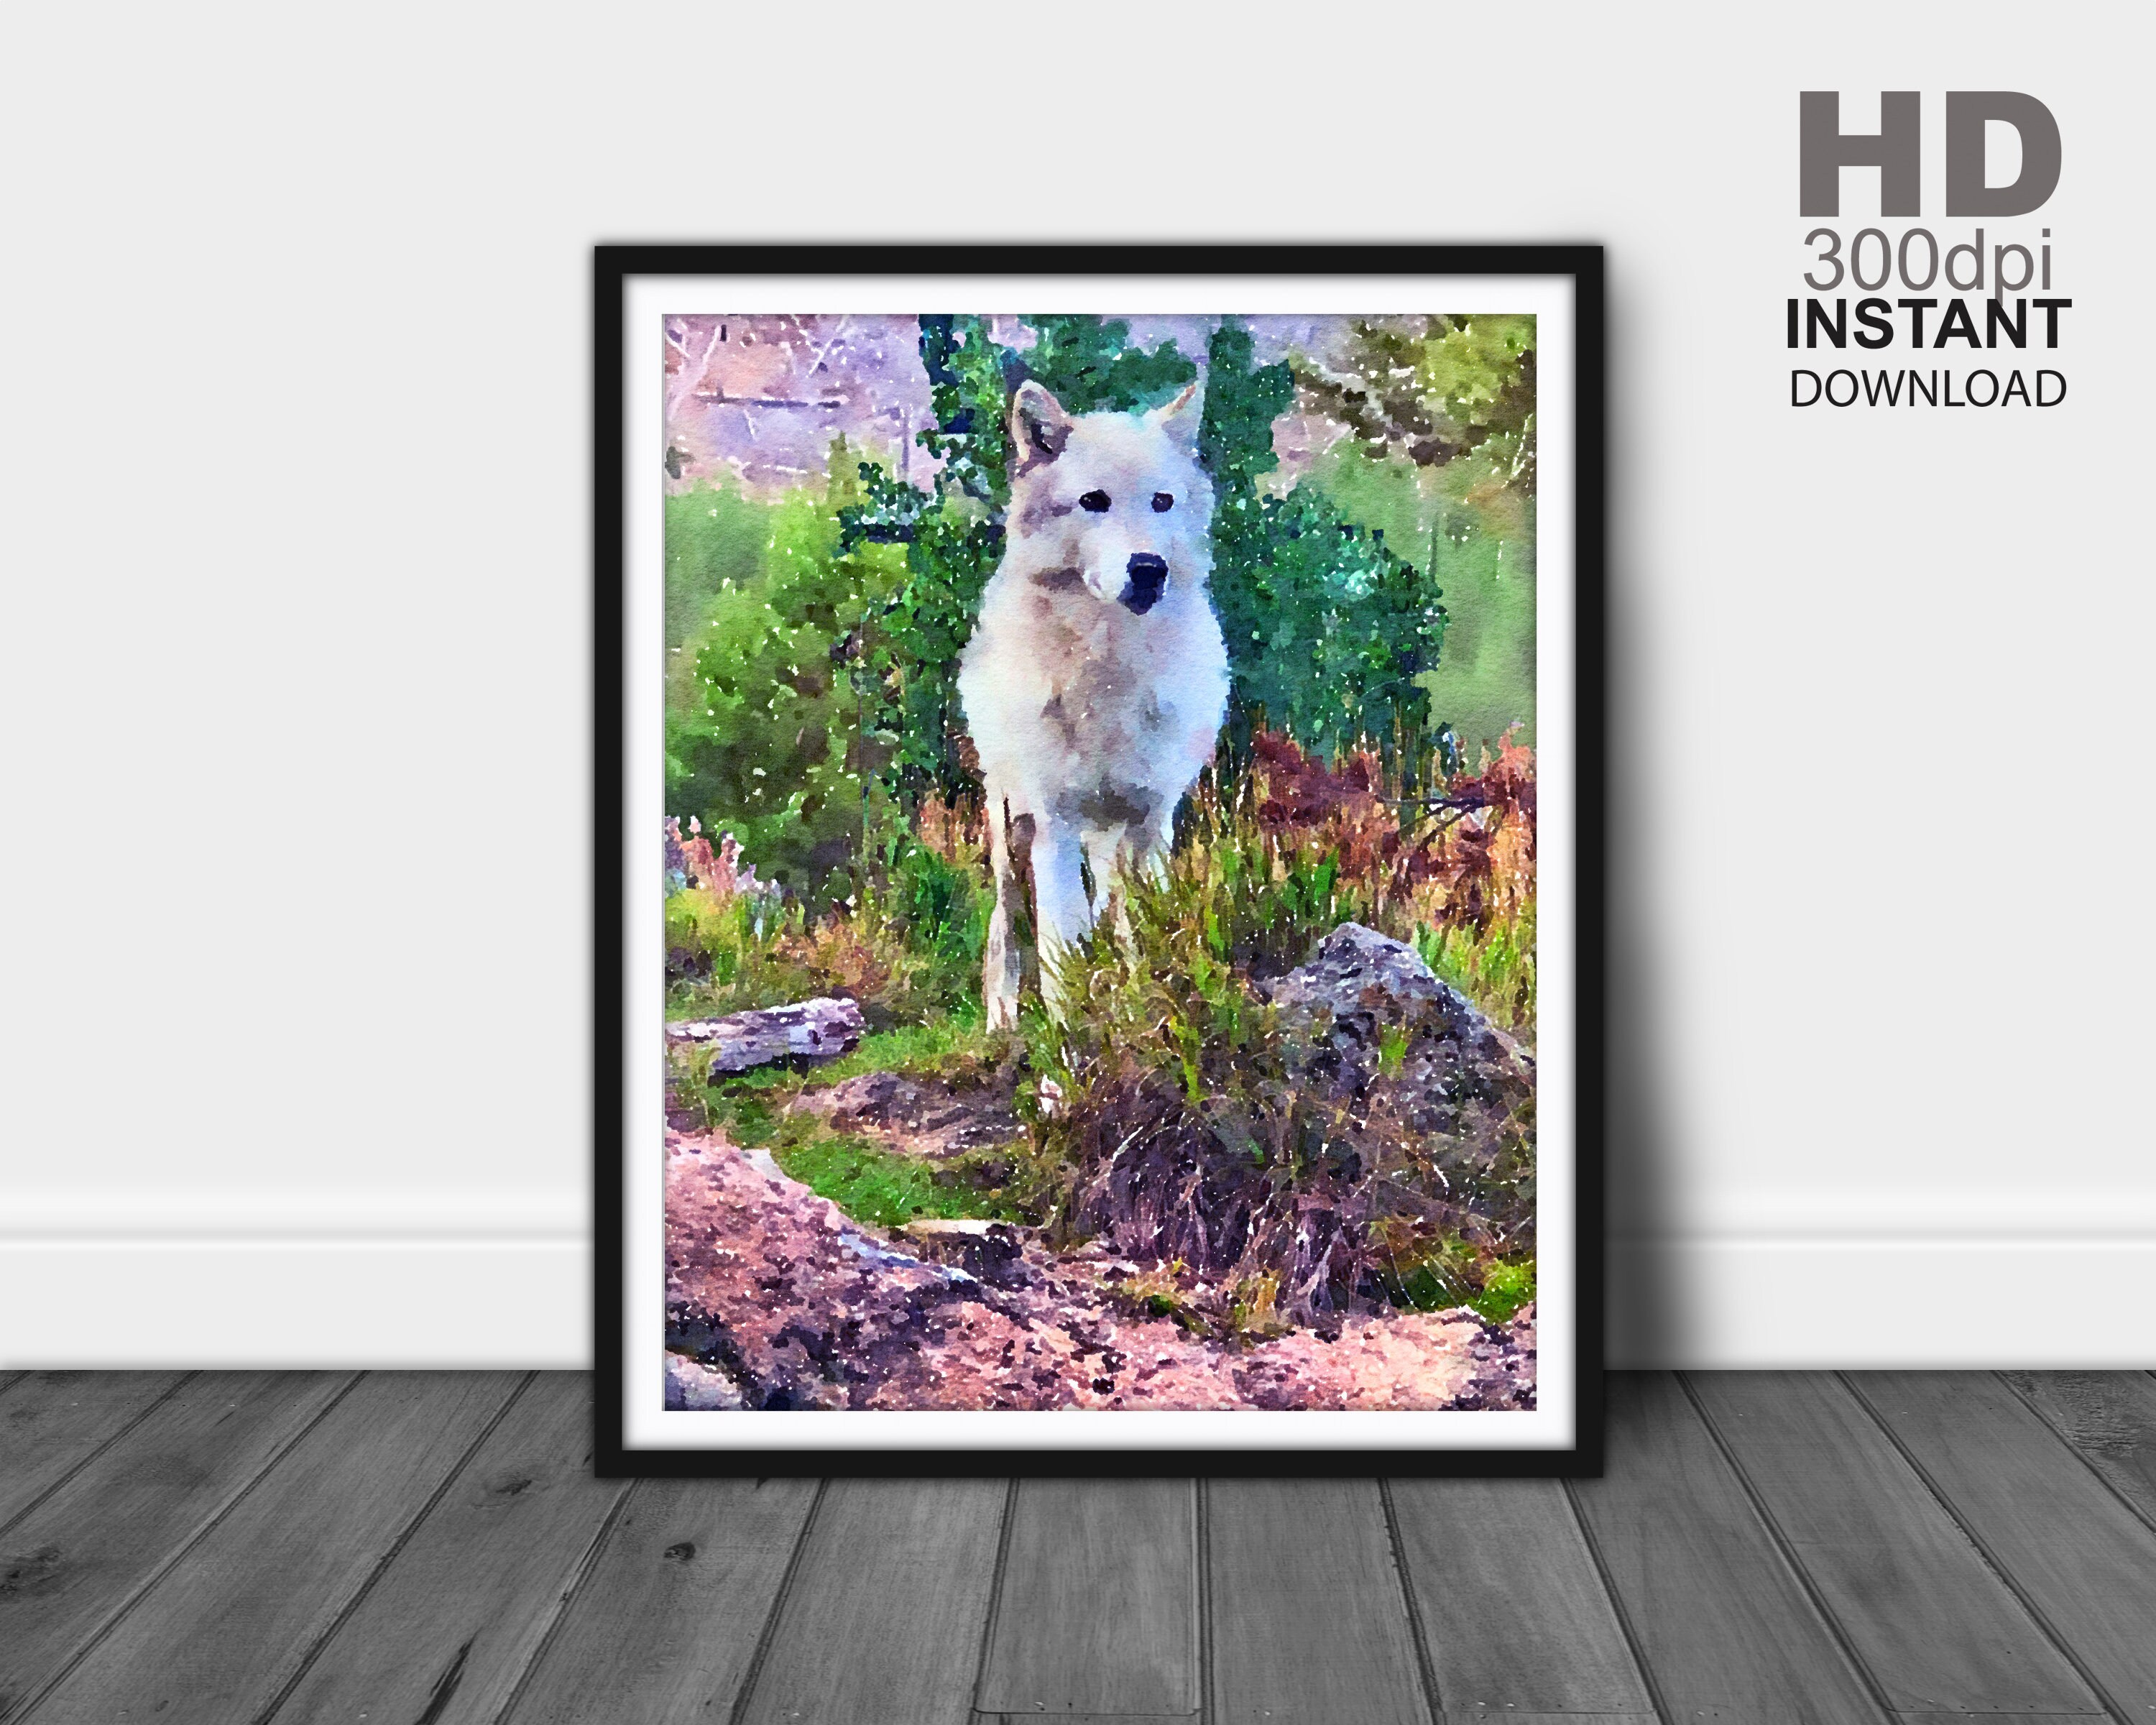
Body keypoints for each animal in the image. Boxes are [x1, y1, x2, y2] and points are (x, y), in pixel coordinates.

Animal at [958, 378, 1231, 1028]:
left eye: (1162, 501)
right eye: (1093, 501)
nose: (1148, 569)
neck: (1108, 670)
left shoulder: (1151, 822)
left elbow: (1144, 930)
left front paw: (1149, 1006)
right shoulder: (1054, 826)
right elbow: (1060, 946)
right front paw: (1069, 1035)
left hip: (1108, 837)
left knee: (1110, 902)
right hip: (1011, 823)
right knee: (1009, 924)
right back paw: (1003, 1020)